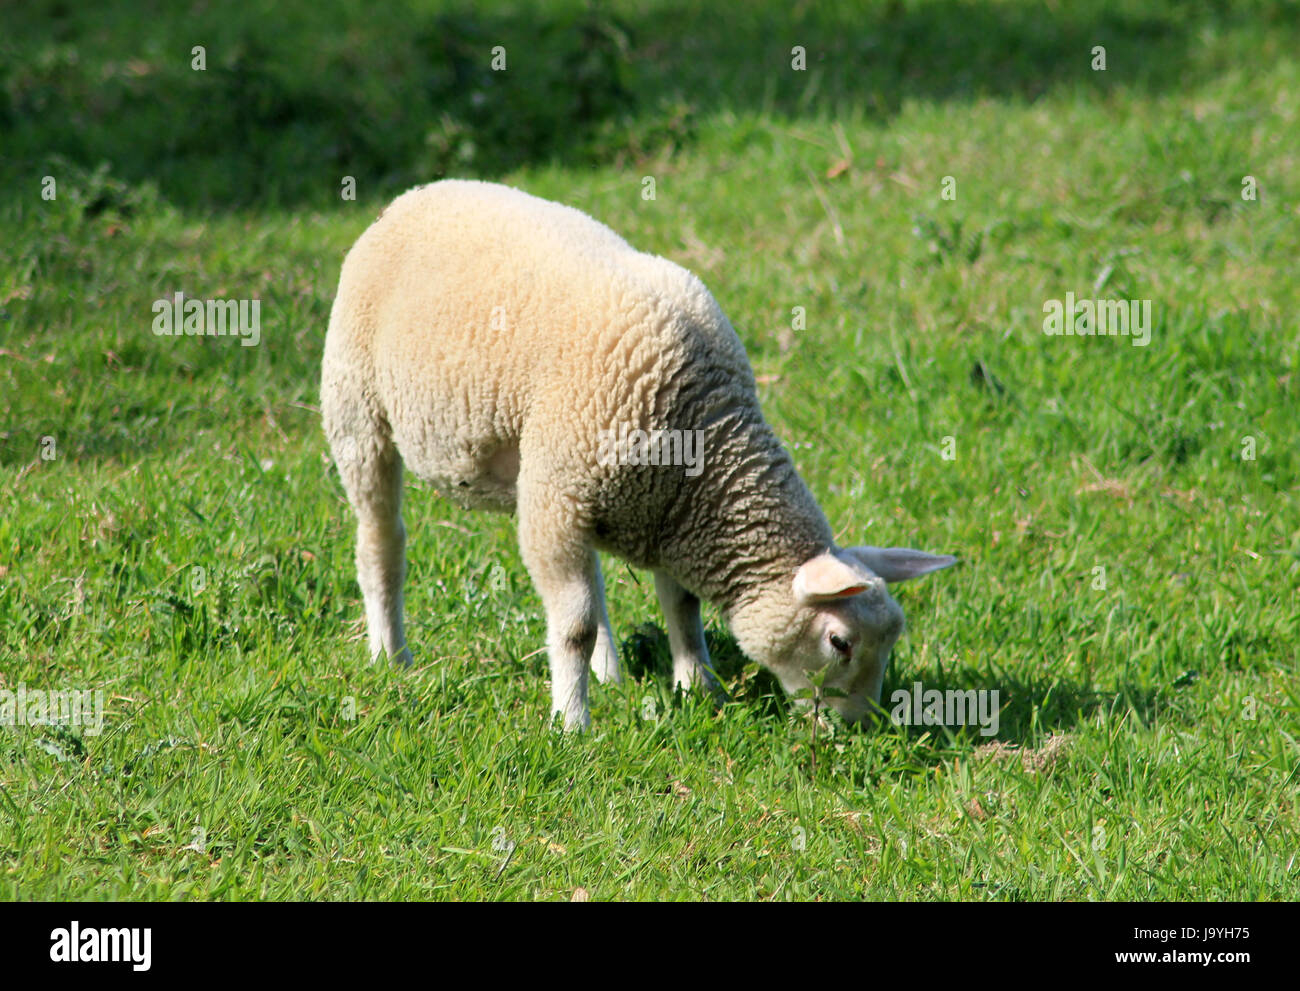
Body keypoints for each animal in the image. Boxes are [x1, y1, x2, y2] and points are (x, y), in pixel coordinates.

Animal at [321, 179, 956, 731]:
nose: (861, 729)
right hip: (358, 407)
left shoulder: (662, 510)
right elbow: (572, 627)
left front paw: (697, 689)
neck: (708, 438)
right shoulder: (557, 501)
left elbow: (682, 608)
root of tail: (418, 193)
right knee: (381, 541)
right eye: (839, 641)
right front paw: (570, 723)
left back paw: (609, 672)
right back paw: (391, 656)